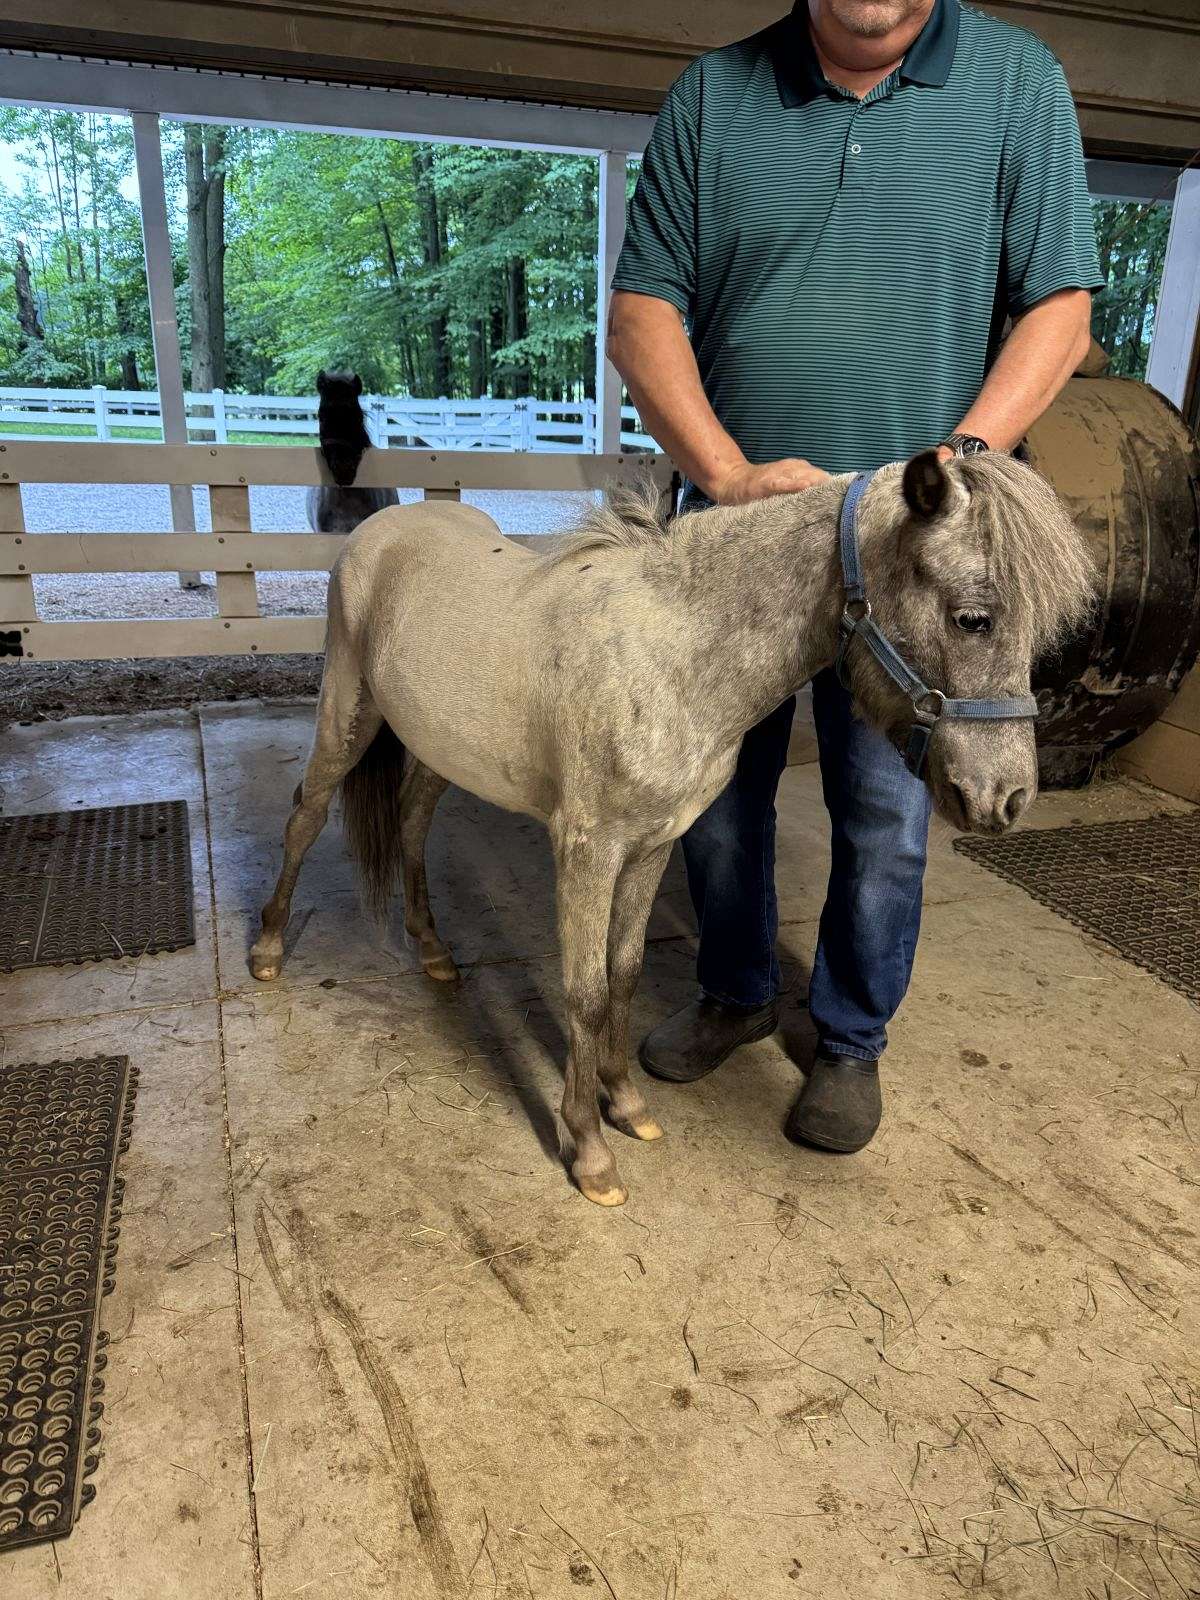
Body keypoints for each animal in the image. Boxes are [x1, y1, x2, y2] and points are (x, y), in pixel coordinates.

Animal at [252, 449, 1094, 1206]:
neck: (672, 658)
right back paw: (267, 950)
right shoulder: (587, 851)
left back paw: (431, 952)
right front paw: (587, 1150)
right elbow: (585, 993)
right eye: (974, 617)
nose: (1008, 798)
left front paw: (626, 1107)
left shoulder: (651, 845)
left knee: (411, 823)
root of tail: (379, 528)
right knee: (305, 815)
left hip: (437, 749)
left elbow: (623, 975)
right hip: (347, 714)